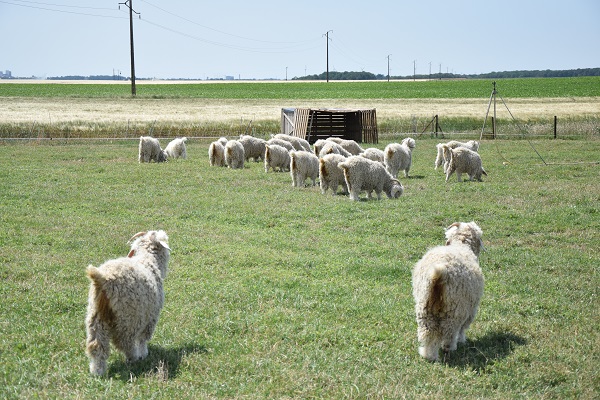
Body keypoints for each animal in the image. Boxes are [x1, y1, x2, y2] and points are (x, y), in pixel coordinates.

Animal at [84, 230, 171, 376]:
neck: (148, 261)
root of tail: (104, 279)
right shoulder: (151, 315)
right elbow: (143, 338)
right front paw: (144, 353)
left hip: (96, 316)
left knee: (97, 346)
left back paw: (97, 371)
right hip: (128, 316)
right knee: (125, 342)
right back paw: (134, 358)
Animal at [410, 222, 486, 362]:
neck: (461, 245)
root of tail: (438, 276)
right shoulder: (470, 309)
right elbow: (463, 328)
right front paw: (462, 340)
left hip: (425, 308)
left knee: (428, 334)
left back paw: (428, 355)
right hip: (454, 310)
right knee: (450, 332)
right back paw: (449, 347)